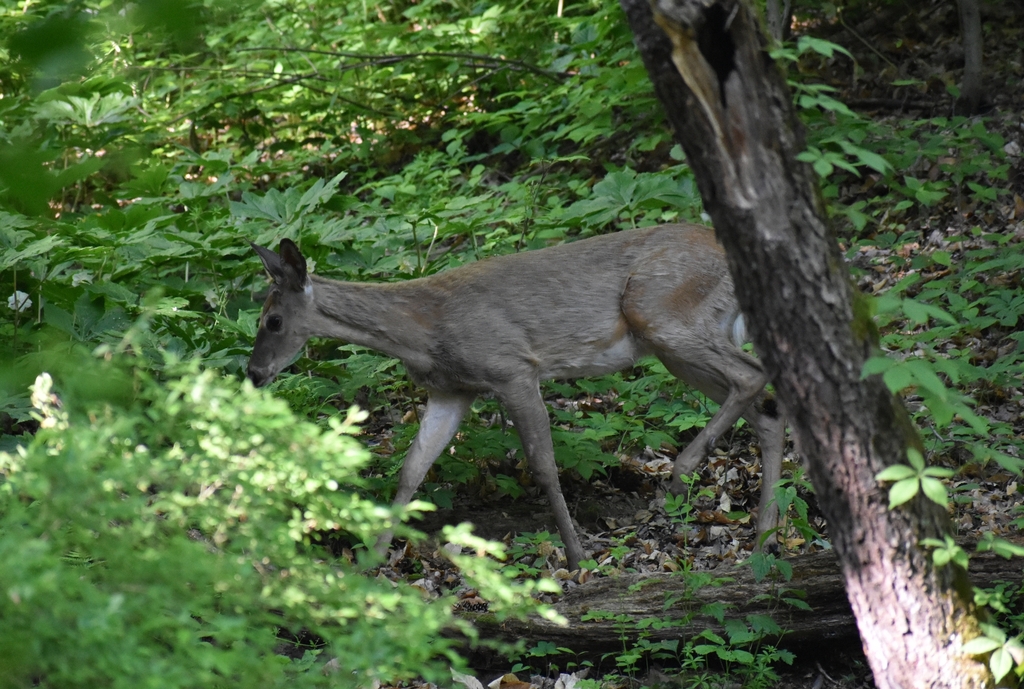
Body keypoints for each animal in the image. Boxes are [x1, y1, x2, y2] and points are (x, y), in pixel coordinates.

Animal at [247, 223, 785, 571]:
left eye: (272, 320)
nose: (253, 374)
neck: (423, 331)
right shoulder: (452, 391)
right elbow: (411, 471)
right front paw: (369, 566)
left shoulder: (513, 368)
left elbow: (543, 465)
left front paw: (578, 557)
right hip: (678, 340)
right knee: (765, 409)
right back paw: (763, 540)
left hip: (664, 313)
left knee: (752, 376)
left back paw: (683, 472)